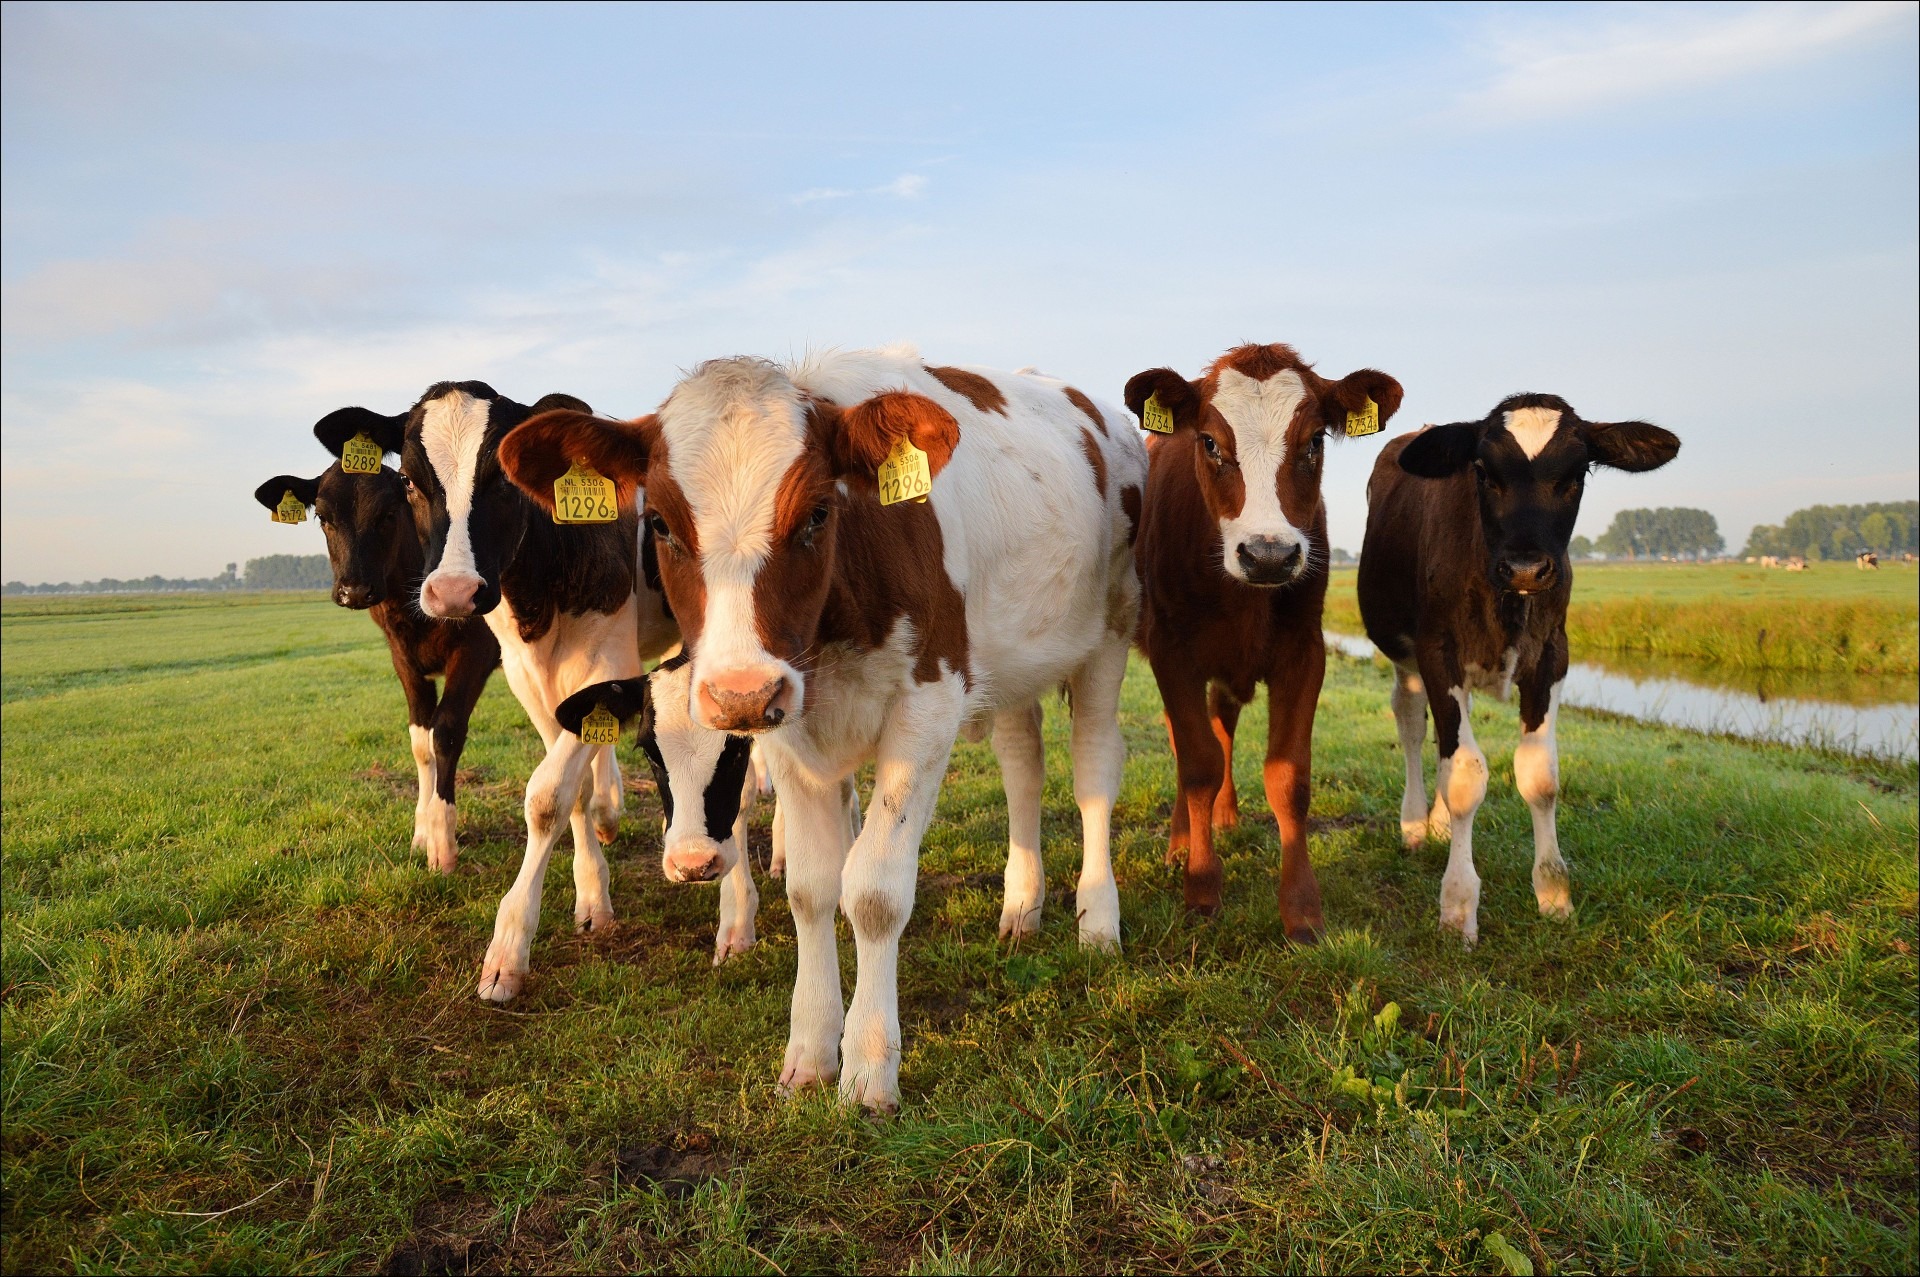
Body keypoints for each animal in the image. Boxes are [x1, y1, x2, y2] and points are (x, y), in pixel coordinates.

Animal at [253, 431, 500, 872]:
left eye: (387, 515)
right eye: (323, 518)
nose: (354, 590)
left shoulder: (476, 650)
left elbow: (446, 732)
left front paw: (442, 843)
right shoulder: (403, 659)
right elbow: (421, 742)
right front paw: (422, 833)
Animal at [498, 349, 1147, 1110]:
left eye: (816, 512)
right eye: (656, 522)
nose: (740, 690)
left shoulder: (929, 705)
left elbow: (874, 890)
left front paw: (867, 1065)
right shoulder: (789, 727)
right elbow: (811, 888)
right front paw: (810, 1049)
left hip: (1110, 631)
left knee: (1093, 770)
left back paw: (1098, 920)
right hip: (1014, 662)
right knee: (1022, 765)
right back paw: (1022, 903)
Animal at [1124, 344, 1403, 940]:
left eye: (1315, 440)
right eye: (1209, 442)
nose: (1269, 555)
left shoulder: (1304, 651)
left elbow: (1288, 776)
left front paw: (1301, 910)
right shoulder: (1171, 651)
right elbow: (1197, 764)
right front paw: (1202, 888)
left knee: (1222, 721)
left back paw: (1225, 816)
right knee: (1187, 741)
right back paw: (1181, 842)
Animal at [1358, 393, 1679, 944]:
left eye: (1577, 473)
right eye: (1483, 472)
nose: (1527, 568)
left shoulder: (1551, 657)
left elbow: (1539, 776)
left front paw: (1553, 892)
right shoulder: (1438, 654)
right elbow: (1465, 775)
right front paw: (1458, 905)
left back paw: (1438, 823)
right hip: (1404, 656)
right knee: (1412, 724)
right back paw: (1416, 824)